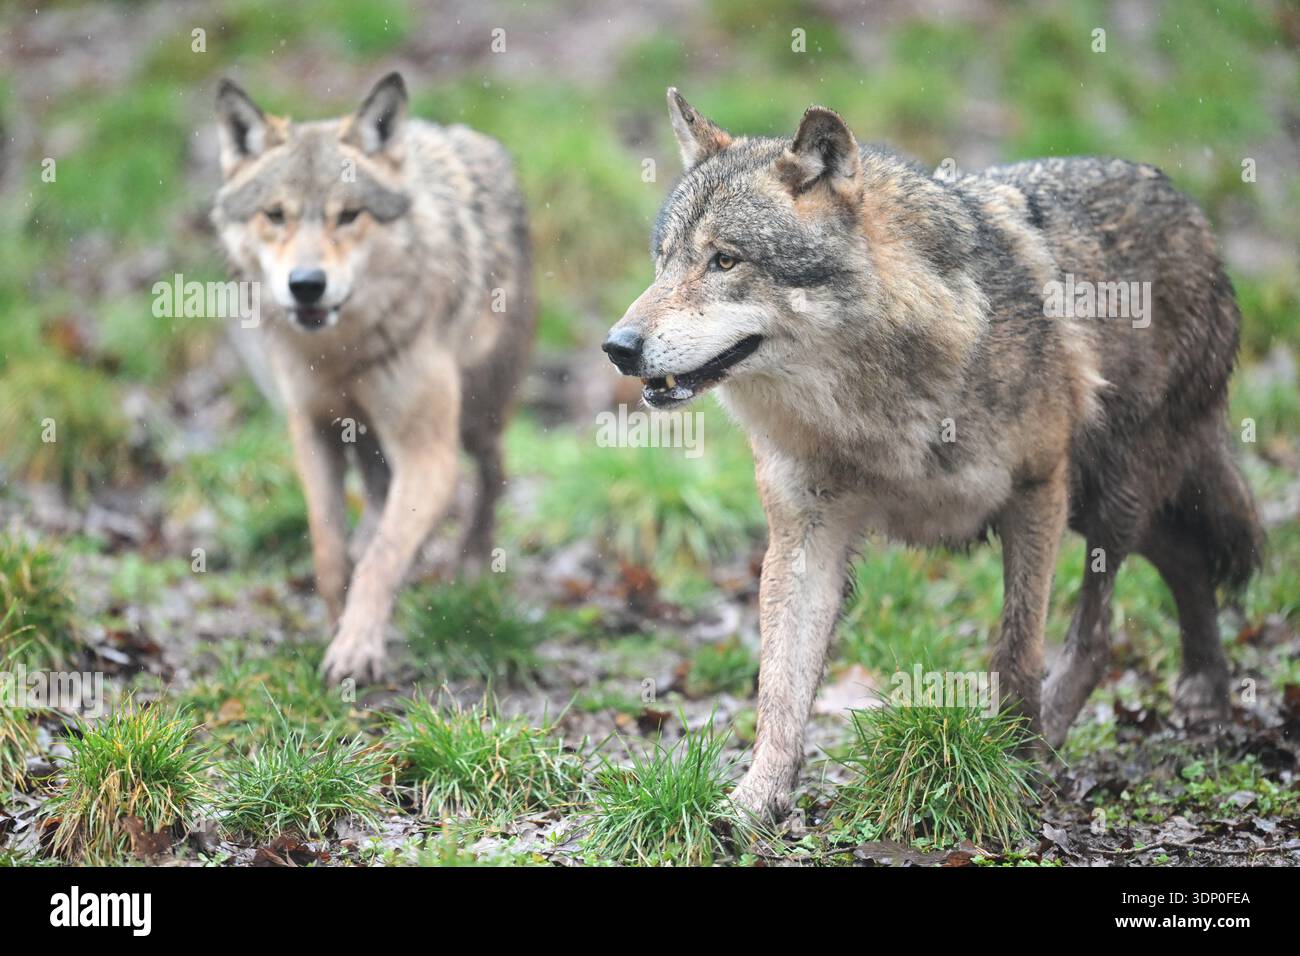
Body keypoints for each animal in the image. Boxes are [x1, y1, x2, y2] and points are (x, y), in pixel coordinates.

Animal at [212, 74, 535, 682]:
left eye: (348, 215)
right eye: (276, 215)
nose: (306, 284)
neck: (342, 353)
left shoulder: (429, 455)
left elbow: (383, 559)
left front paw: (357, 647)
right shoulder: (312, 432)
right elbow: (328, 550)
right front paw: (337, 622)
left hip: (478, 420)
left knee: (491, 477)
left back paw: (471, 566)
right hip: (364, 434)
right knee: (378, 499)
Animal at [604, 89, 1262, 821]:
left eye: (724, 260)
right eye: (664, 260)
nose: (618, 347)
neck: (868, 408)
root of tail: (1189, 209)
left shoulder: (1035, 492)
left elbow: (1015, 654)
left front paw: (1014, 769)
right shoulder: (804, 531)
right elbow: (779, 685)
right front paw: (752, 805)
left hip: (1105, 498)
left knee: (1102, 633)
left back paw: (1077, 734)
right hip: (1100, 503)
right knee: (1184, 556)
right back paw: (1205, 689)